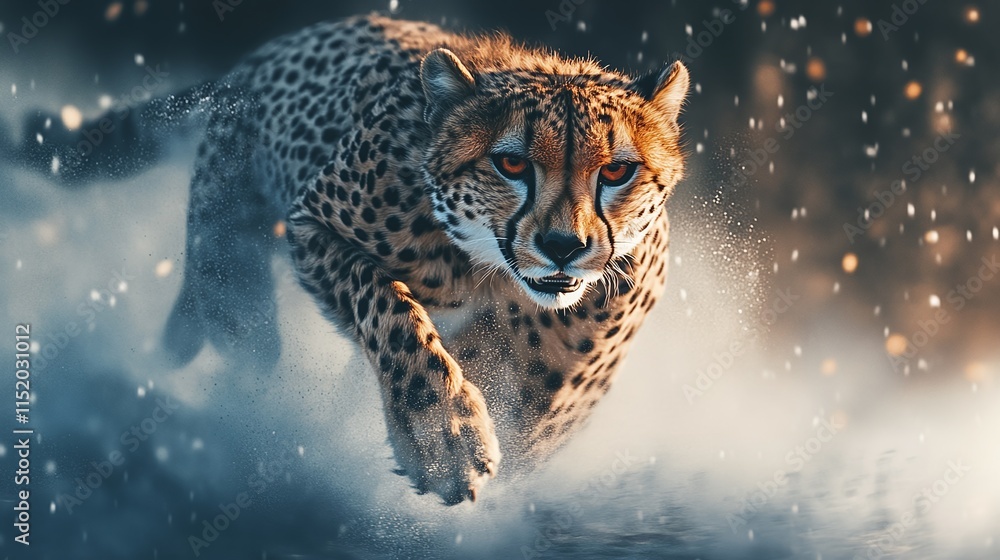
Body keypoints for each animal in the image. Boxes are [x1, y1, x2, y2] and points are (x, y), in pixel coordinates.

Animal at [9, 14, 689, 505]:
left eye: (617, 172)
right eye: (512, 163)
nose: (563, 247)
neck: (492, 276)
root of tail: (266, 51)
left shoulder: (547, 408)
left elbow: (521, 414)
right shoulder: (314, 226)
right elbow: (389, 309)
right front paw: (440, 438)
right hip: (231, 240)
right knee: (237, 323)